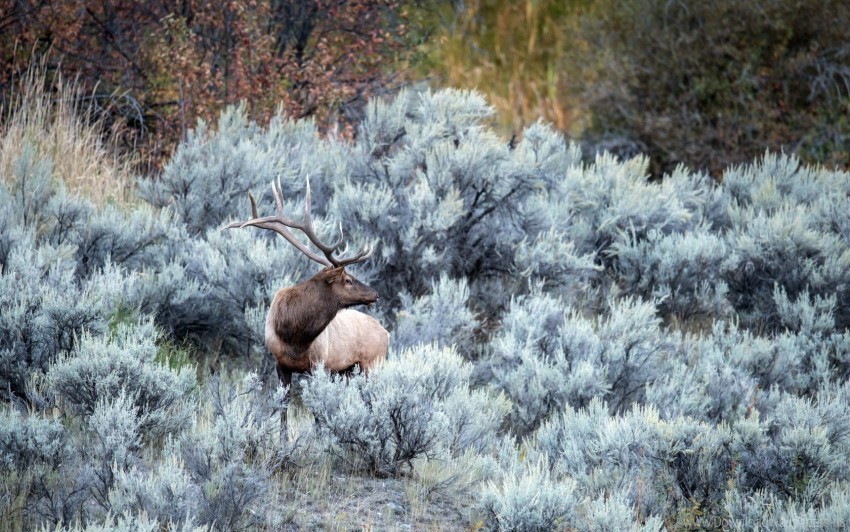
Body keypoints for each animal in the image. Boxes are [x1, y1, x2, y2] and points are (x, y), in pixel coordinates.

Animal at [224, 178, 389, 390]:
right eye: (348, 280)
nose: (375, 294)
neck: (294, 337)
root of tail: (387, 334)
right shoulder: (280, 365)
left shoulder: (320, 364)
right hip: (349, 369)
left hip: (373, 362)